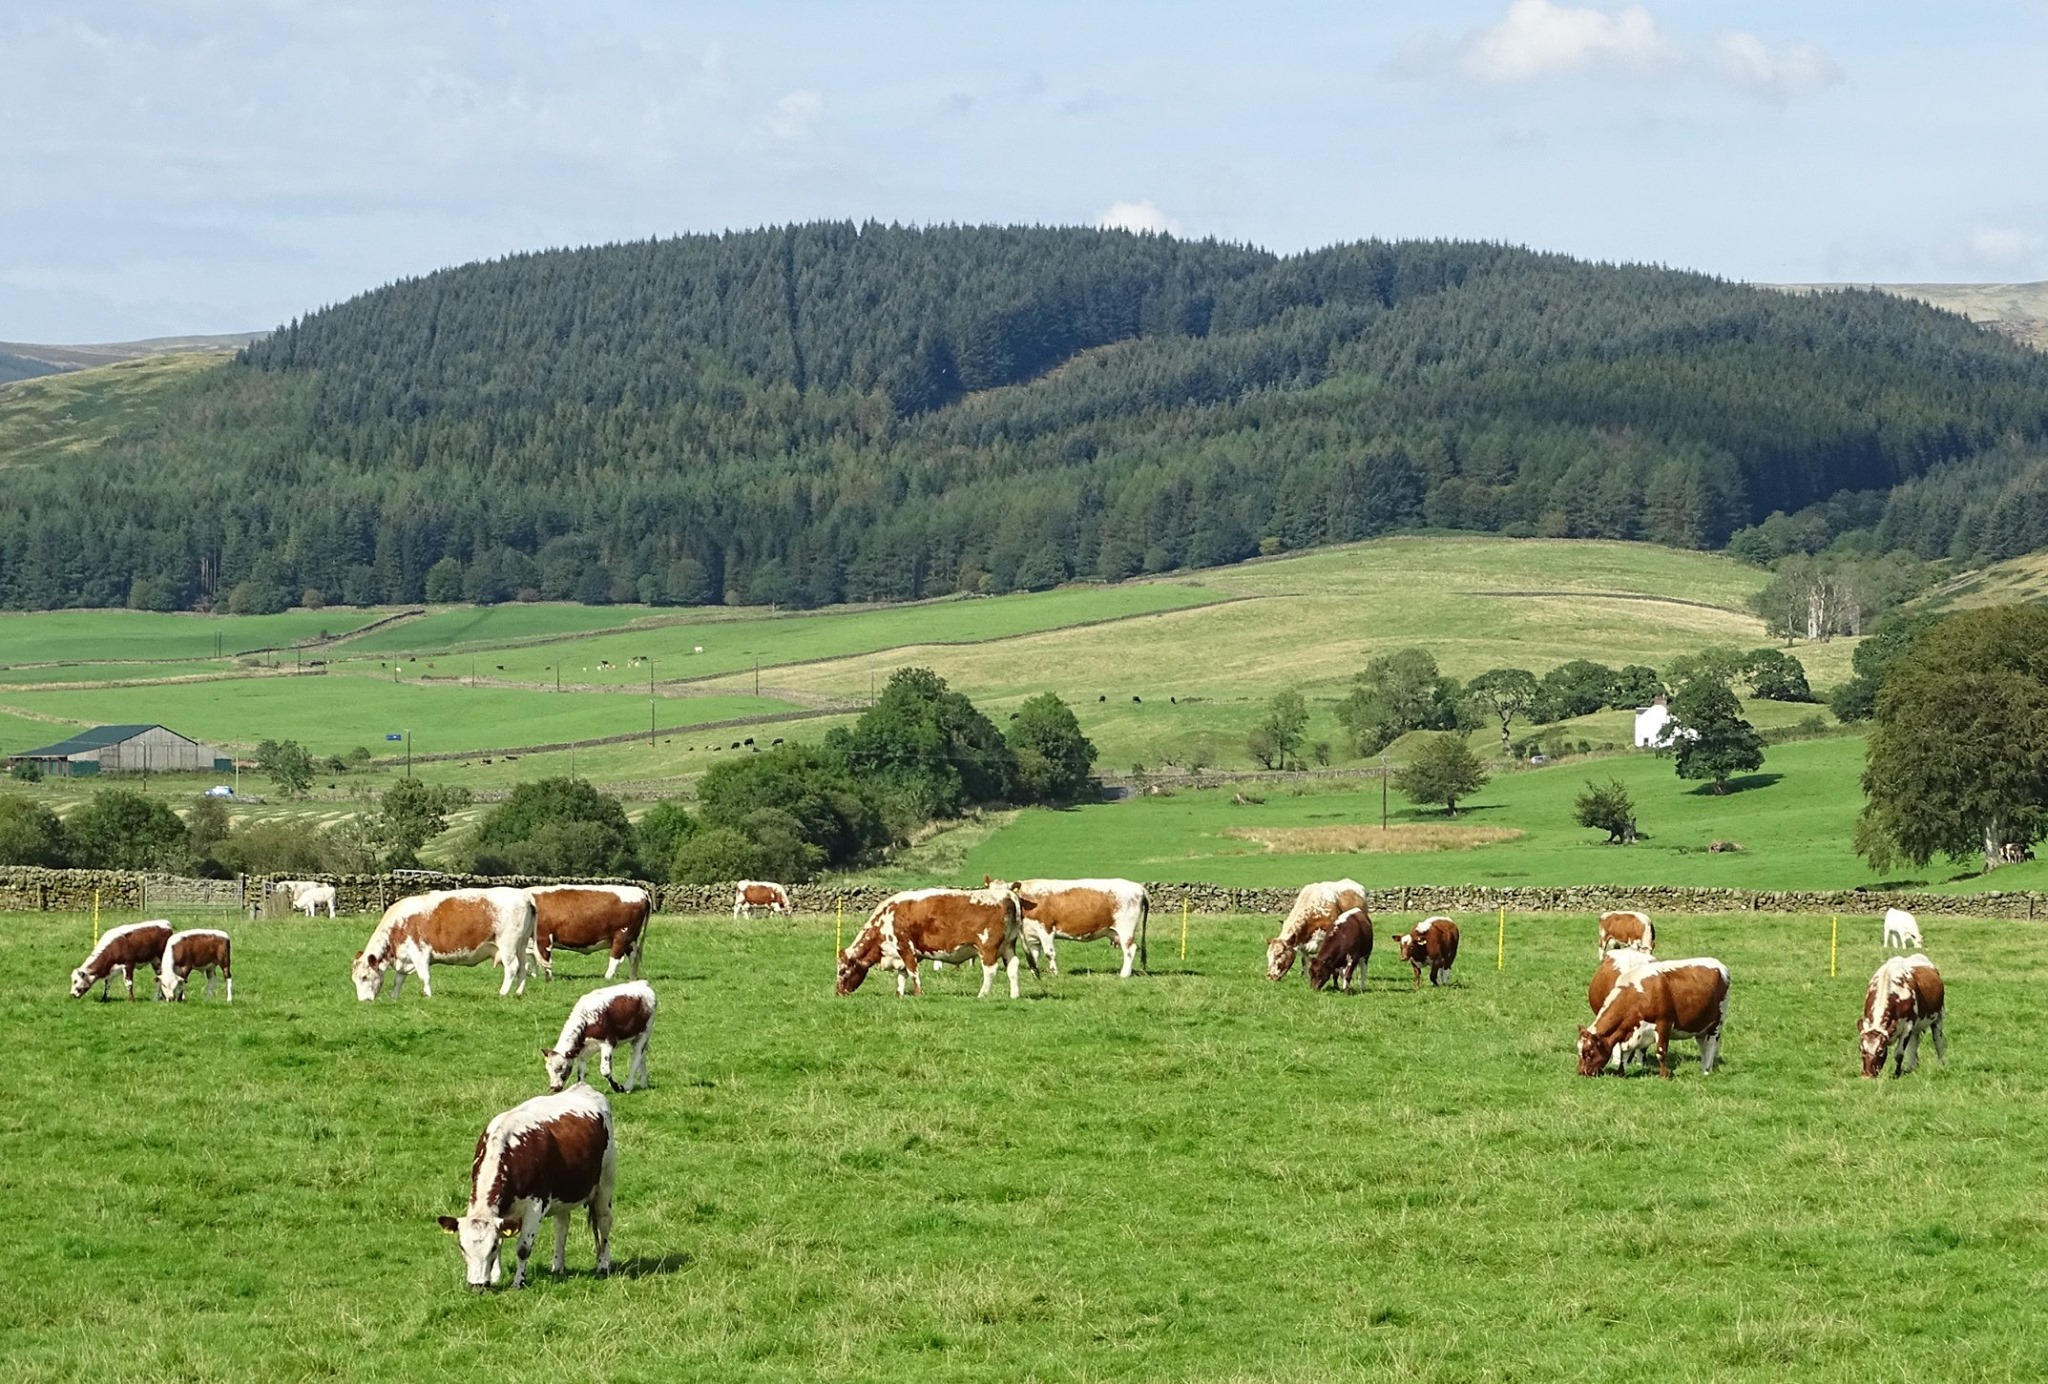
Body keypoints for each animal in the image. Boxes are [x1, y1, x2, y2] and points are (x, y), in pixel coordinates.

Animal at [351, 888, 537, 1001]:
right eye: (354, 979)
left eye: (365, 977)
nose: (363, 1001)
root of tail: (524, 896)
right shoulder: (404, 958)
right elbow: (399, 979)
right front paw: (393, 997)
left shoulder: (419, 953)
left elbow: (424, 976)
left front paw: (428, 996)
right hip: (521, 945)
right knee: (523, 968)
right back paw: (518, 992)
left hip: (507, 945)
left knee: (512, 968)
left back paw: (503, 993)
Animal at [438, 1084, 615, 1290]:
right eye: (462, 1247)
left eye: (491, 1246)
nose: (477, 1285)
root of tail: (583, 1087)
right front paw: (495, 1276)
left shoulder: (536, 1205)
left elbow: (523, 1248)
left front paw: (518, 1282)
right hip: (563, 1194)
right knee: (562, 1226)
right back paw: (558, 1266)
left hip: (605, 1184)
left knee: (604, 1222)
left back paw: (603, 1265)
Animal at [836, 883, 1027, 999]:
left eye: (842, 970)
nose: (838, 992)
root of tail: (1008, 894)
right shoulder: (902, 954)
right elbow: (902, 975)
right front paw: (899, 994)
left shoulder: (905, 947)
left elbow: (913, 972)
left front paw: (918, 993)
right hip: (1009, 945)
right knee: (1013, 966)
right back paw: (1015, 995)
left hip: (988, 947)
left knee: (990, 970)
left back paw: (982, 994)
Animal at [1013, 878, 1149, 978]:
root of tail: (1139, 887)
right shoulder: (1032, 935)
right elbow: (1034, 955)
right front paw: (1035, 974)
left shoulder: (1046, 929)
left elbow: (1049, 953)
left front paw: (1054, 974)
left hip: (1125, 929)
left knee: (1130, 949)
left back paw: (1124, 974)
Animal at [1578, 958, 1729, 1079]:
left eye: (1589, 1052)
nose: (1581, 1072)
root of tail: (1721, 965)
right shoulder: (1629, 1031)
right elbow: (1624, 1051)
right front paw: (1621, 1072)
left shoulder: (1664, 1024)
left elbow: (1661, 1051)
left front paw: (1664, 1075)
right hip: (1701, 1028)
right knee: (1703, 1046)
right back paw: (1704, 1068)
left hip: (1717, 1024)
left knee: (1712, 1046)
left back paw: (1707, 1071)